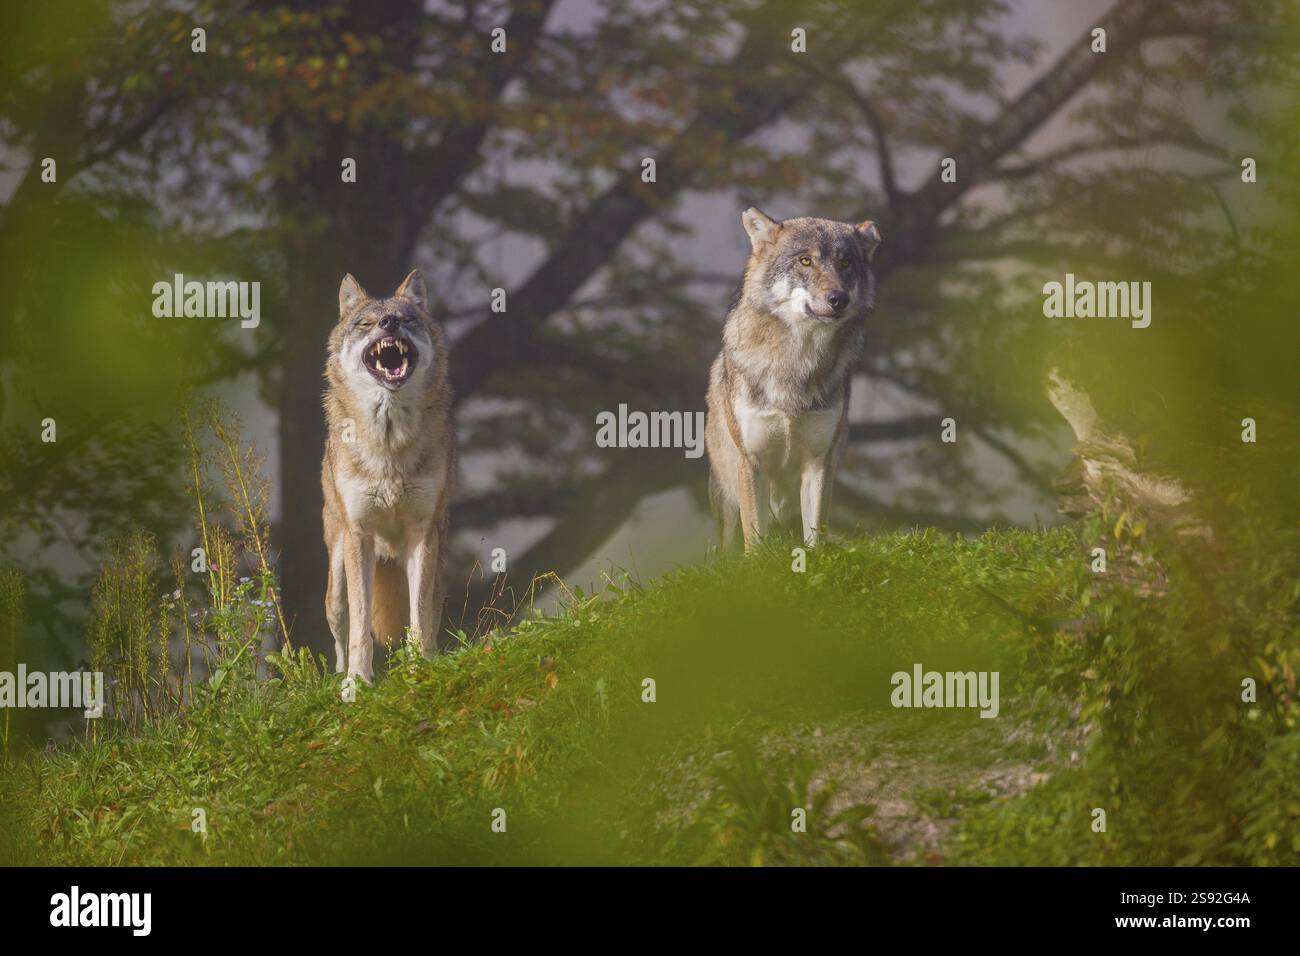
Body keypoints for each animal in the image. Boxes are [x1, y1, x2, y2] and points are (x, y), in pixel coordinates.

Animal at [321, 269, 455, 682]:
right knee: (340, 625)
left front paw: (420, 666)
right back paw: (337, 676)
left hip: (438, 575)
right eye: (366, 324)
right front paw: (356, 683)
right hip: (337, 573)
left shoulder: (422, 533)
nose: (389, 323)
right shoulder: (359, 535)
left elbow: (418, 618)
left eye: (407, 319)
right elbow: (361, 626)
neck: (389, 443)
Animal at [704, 207, 881, 551]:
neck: (796, 363)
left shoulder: (818, 462)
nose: (838, 298)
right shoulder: (752, 461)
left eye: (845, 263)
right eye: (805, 261)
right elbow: (754, 541)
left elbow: (815, 537)